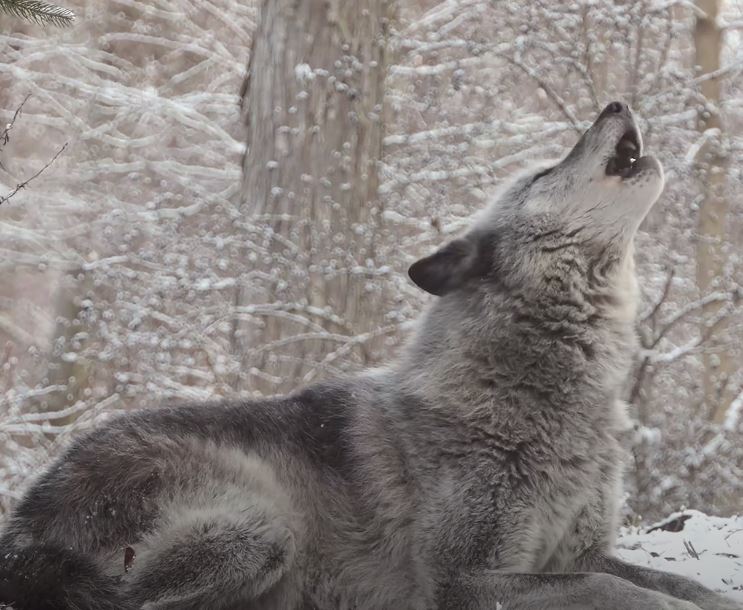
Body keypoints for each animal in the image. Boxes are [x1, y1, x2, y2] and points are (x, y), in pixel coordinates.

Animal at [0, 102, 739, 610]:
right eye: (544, 171)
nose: (614, 104)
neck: (539, 394)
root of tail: (24, 525)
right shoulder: (464, 578)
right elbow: (618, 590)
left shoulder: (581, 549)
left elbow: (665, 578)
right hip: (258, 527)